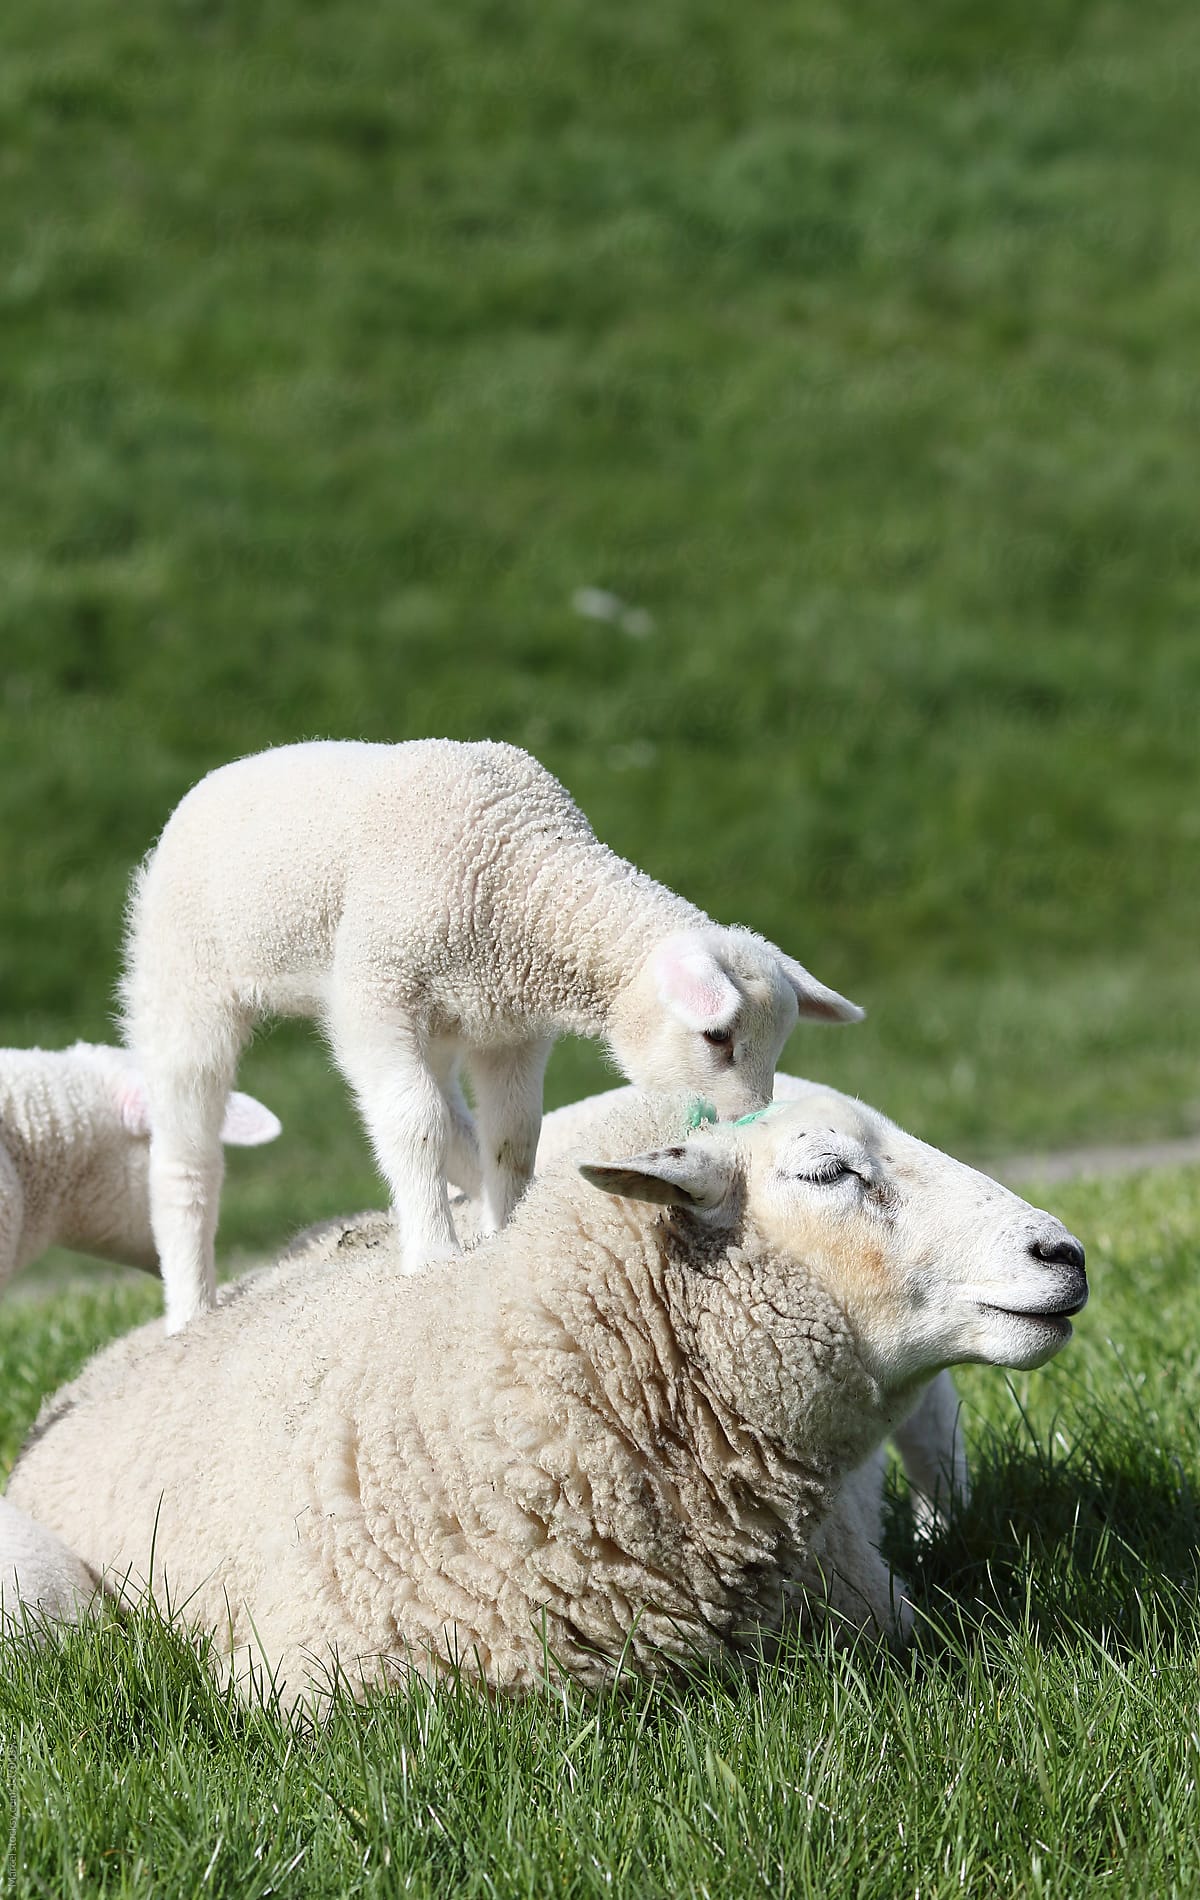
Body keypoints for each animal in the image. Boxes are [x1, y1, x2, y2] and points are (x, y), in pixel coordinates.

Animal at [120, 738, 862, 1331]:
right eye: (716, 1037)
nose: (747, 1127)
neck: (521, 871)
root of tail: (227, 771)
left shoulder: (510, 1030)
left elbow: (514, 1138)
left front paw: (505, 1234)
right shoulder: (376, 996)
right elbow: (412, 1121)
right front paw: (432, 1255)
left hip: (448, 1025)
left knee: (460, 1122)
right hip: (184, 981)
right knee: (188, 1148)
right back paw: (189, 1305)